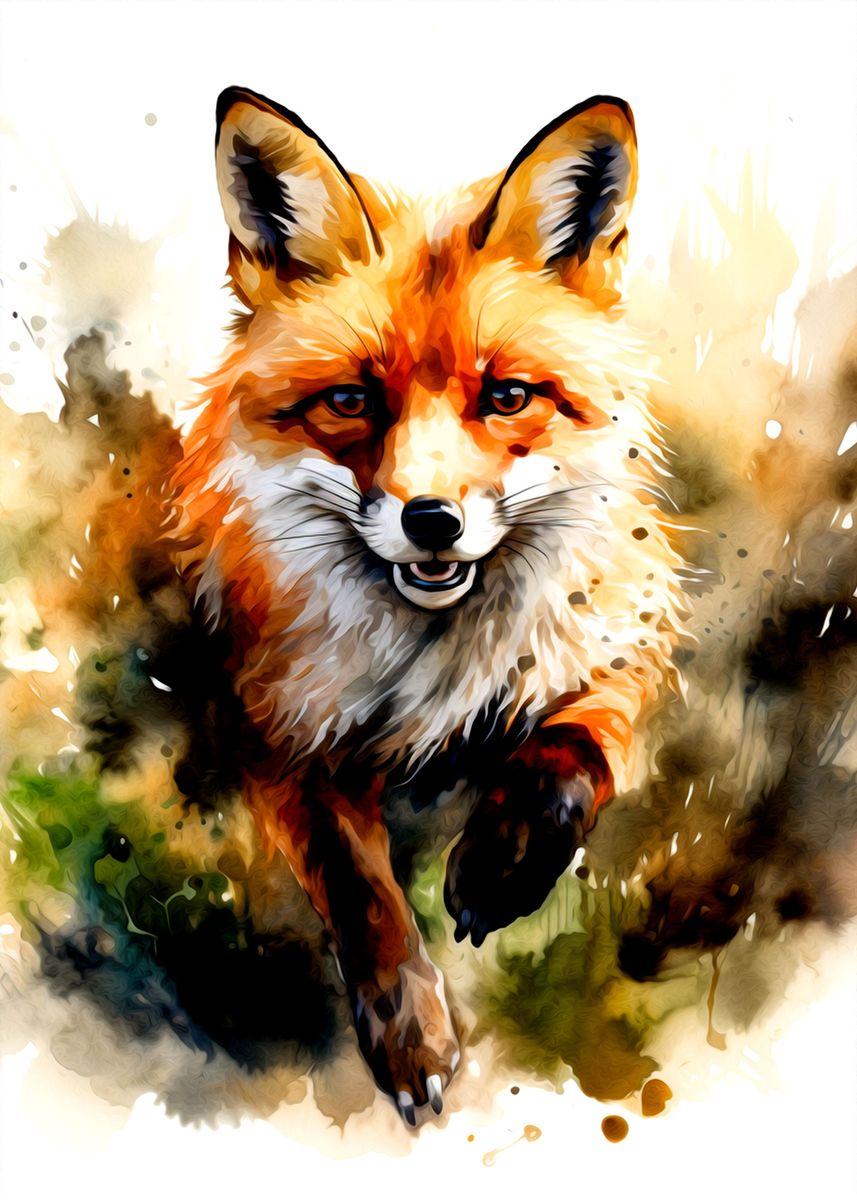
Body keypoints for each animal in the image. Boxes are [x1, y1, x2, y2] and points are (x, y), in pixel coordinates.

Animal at [168, 86, 683, 1123]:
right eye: (352, 401)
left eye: (509, 395)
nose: (432, 521)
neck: (437, 655)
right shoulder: (279, 728)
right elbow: (360, 887)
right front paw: (410, 1031)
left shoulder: (621, 640)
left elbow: (568, 755)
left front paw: (502, 863)